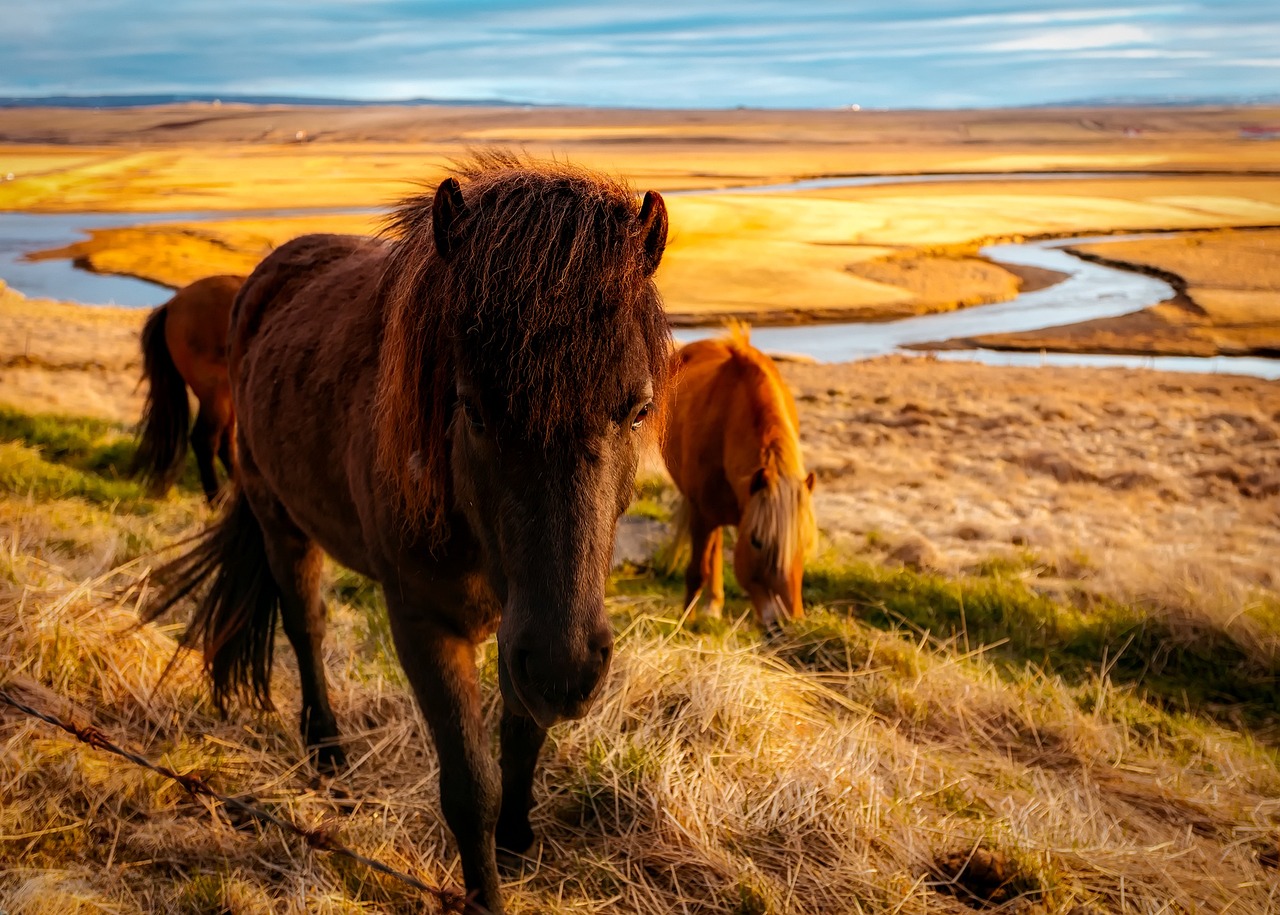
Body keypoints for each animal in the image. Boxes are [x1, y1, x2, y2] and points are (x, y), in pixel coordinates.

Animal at [144, 153, 671, 914]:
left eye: (637, 409)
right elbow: (470, 788)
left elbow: (522, 734)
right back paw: (326, 748)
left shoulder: (526, 629)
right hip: (281, 520)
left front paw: (517, 840)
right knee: (306, 626)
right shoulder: (427, 625)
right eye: (473, 410)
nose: (566, 670)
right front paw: (486, 891)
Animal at [661, 324, 816, 629]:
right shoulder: (702, 514)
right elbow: (696, 570)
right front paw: (684, 623)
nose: (786, 624)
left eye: (804, 543)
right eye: (757, 542)